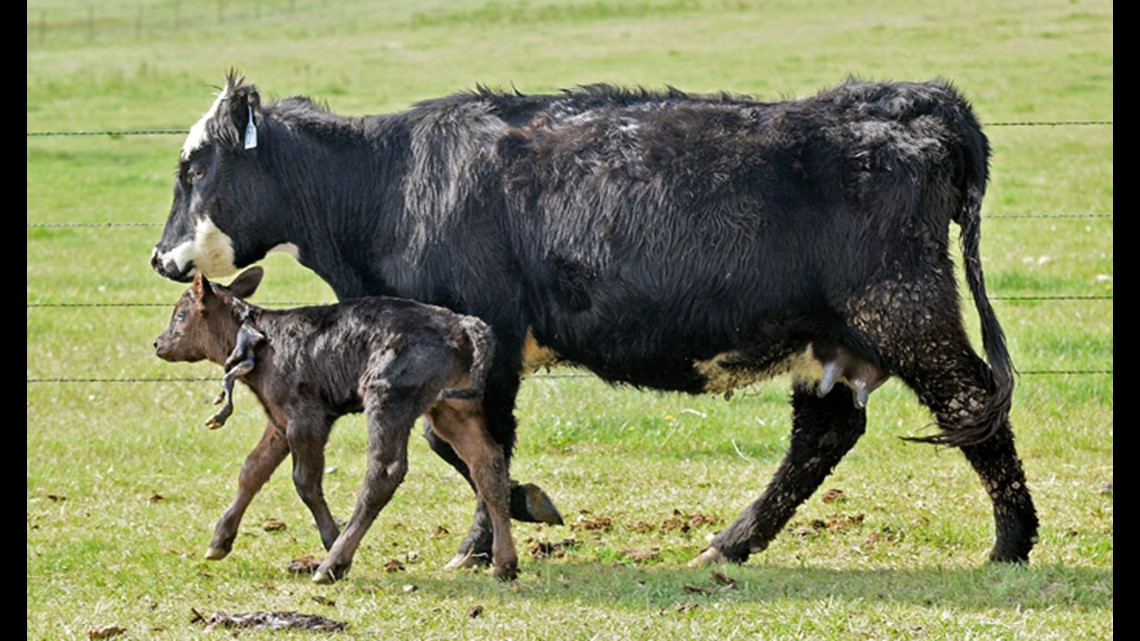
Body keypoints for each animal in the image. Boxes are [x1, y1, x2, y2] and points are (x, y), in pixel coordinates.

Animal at [154, 266, 519, 582]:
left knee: (384, 472)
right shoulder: (280, 421)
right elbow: (253, 470)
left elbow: (305, 481)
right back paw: (505, 563)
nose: (158, 343)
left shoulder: (306, 418)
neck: (262, 342)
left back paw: (334, 562)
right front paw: (220, 540)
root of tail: (462, 323)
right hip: (451, 407)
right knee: (487, 462)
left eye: (181, 314)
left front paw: (330, 537)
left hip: (389, 396)